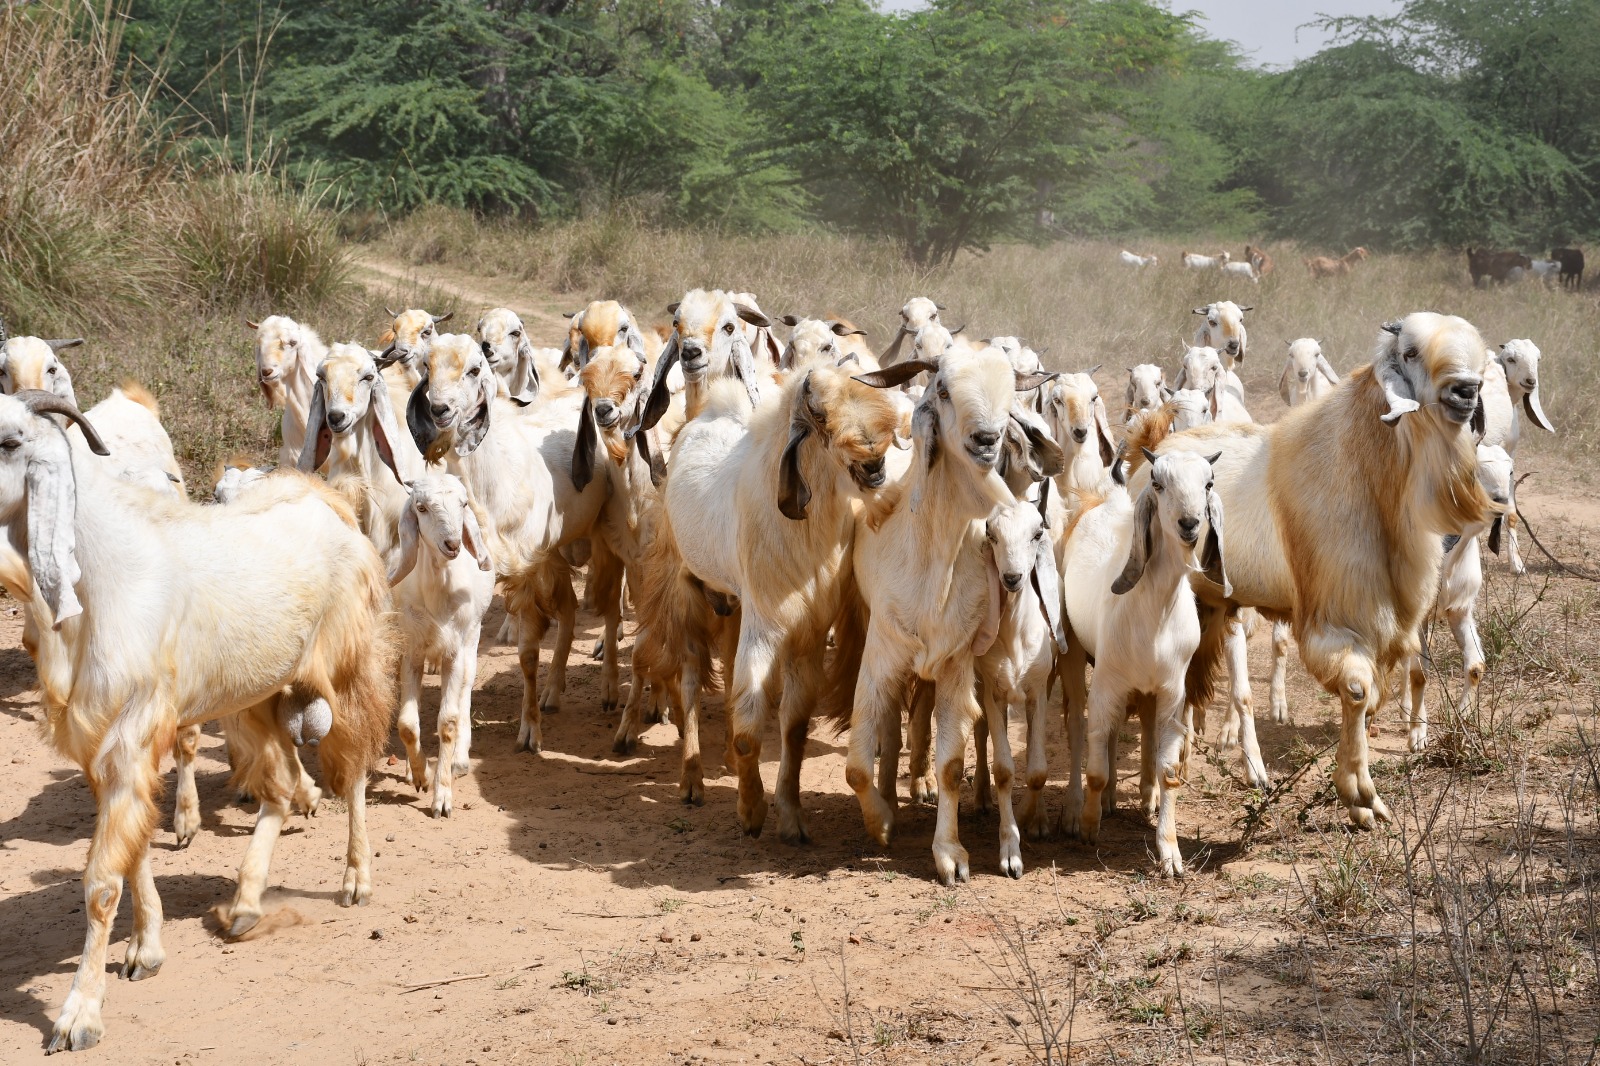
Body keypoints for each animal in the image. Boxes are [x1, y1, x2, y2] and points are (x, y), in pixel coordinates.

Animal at [0, 392, 394, 1052]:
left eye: (9, 442)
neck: (102, 576)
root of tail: (330, 500)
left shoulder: (132, 731)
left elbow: (101, 881)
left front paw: (79, 1015)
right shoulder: (100, 746)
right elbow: (133, 849)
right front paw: (146, 950)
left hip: (343, 669)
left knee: (355, 769)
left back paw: (357, 879)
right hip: (253, 698)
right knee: (280, 788)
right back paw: (246, 902)